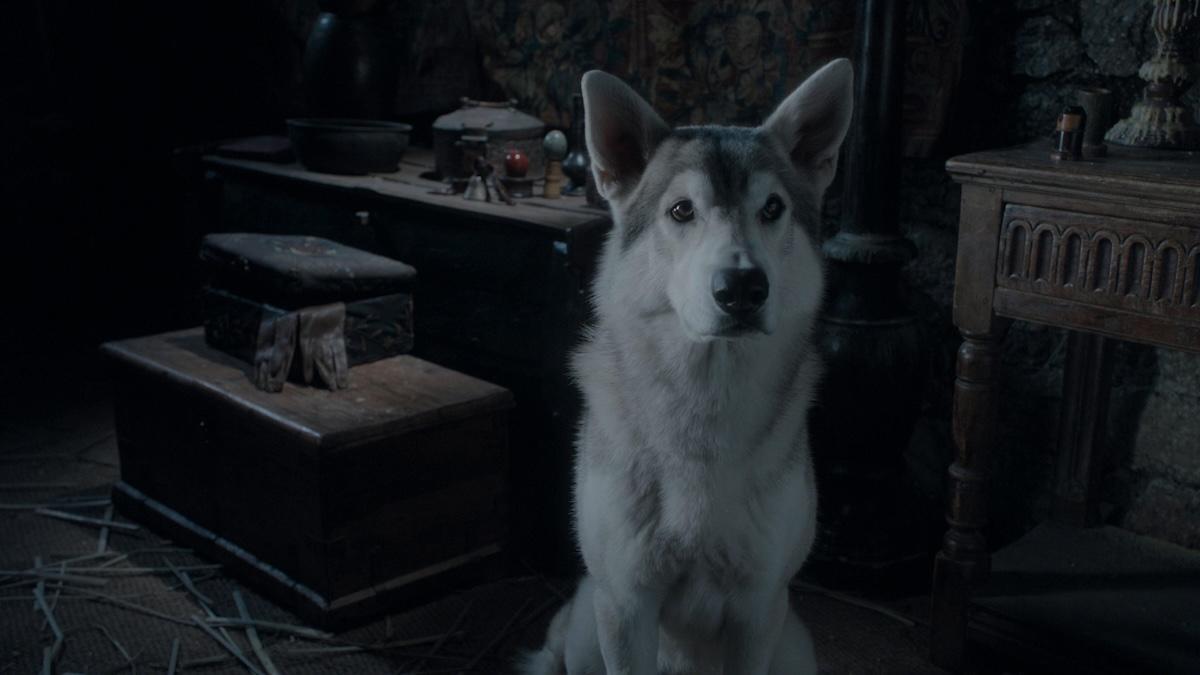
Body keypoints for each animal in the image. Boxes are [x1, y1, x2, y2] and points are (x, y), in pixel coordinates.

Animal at [521, 58, 854, 675]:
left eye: (773, 209)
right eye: (682, 210)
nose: (742, 288)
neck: (704, 403)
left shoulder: (758, 609)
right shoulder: (625, 604)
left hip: (792, 646)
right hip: (585, 629)